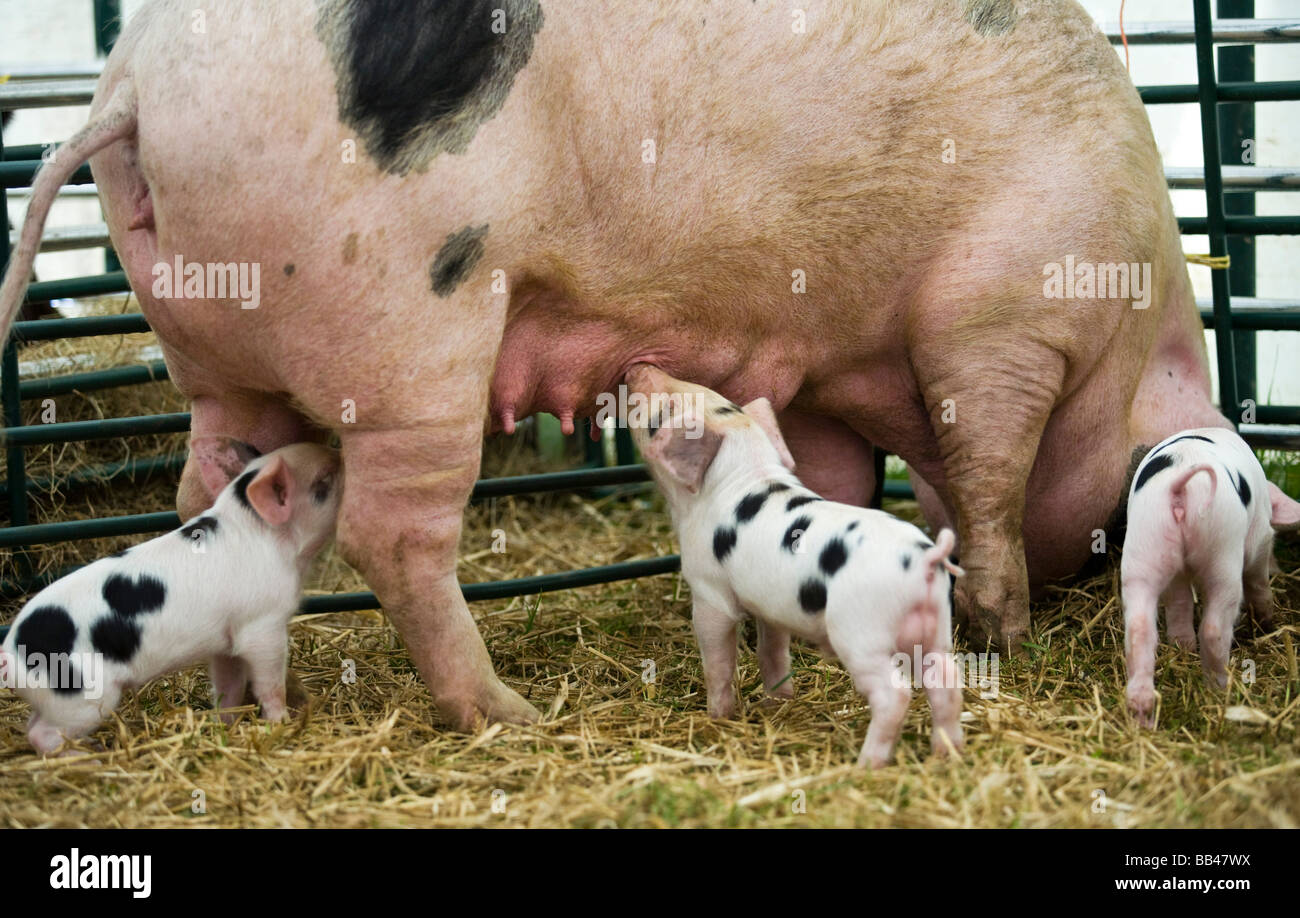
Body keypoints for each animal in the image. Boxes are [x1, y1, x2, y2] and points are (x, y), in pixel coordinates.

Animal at [0, 443, 340, 754]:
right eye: (323, 480)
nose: (338, 453)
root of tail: (9, 654)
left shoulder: (226, 640)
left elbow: (228, 686)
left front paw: (224, 727)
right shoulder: (262, 626)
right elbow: (270, 683)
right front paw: (282, 723)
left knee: (32, 726)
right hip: (81, 695)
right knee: (41, 734)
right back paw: (88, 757)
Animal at [625, 365, 964, 767]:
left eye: (661, 414)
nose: (639, 369)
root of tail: (927, 558)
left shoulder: (709, 591)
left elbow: (717, 659)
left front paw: (718, 716)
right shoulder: (770, 605)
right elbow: (772, 651)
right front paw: (777, 702)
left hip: (861, 633)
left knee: (893, 693)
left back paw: (867, 764)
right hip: (936, 627)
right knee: (946, 680)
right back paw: (946, 753)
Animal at [1119, 429, 1297, 727]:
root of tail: (1180, 487)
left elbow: (1179, 600)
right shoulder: (1259, 535)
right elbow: (1258, 578)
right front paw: (1267, 624)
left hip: (1145, 542)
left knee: (1142, 627)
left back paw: (1144, 716)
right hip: (1222, 548)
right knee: (1214, 626)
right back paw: (1220, 690)